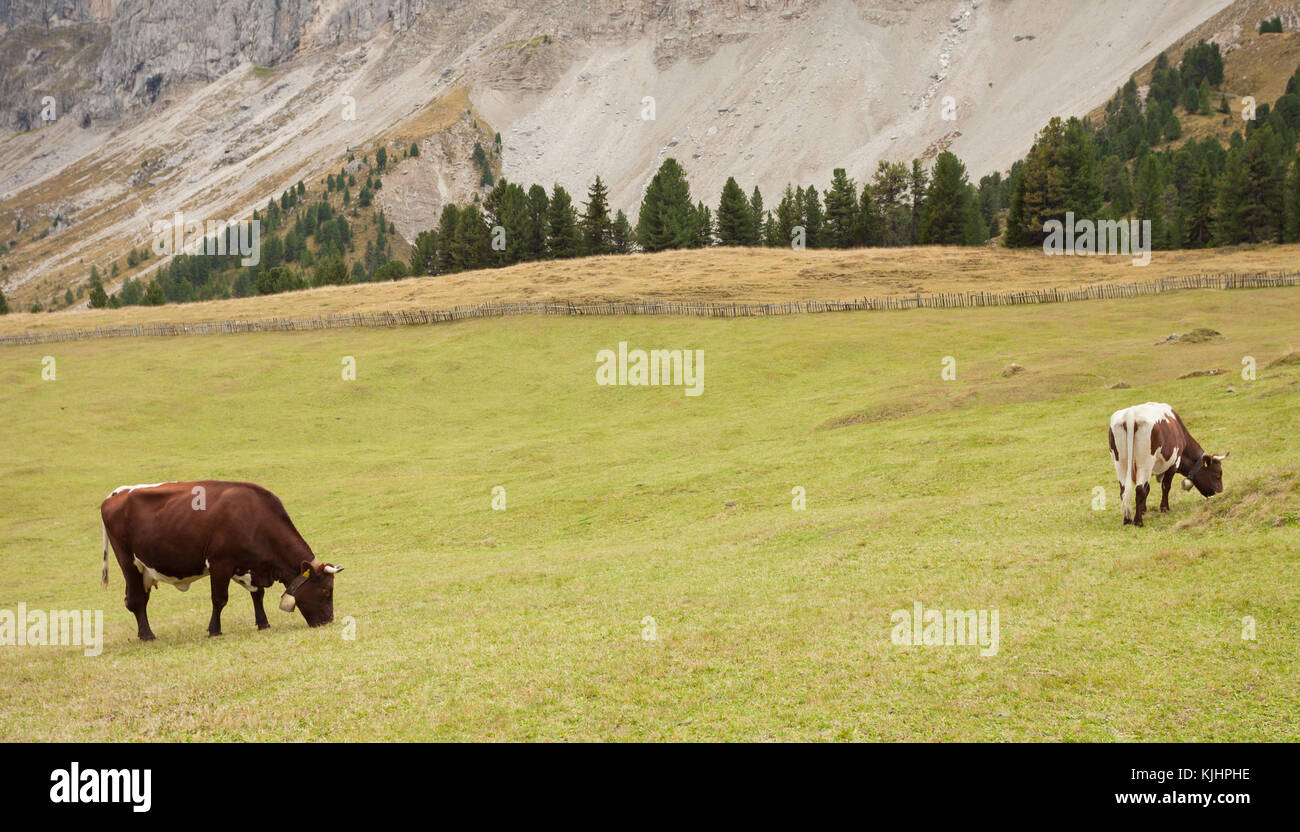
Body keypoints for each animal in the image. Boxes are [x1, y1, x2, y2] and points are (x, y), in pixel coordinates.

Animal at [100, 481, 344, 641]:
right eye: (326, 591)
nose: (328, 620)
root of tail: (116, 494)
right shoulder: (221, 564)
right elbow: (219, 599)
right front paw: (214, 630)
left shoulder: (250, 567)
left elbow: (258, 595)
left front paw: (263, 623)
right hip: (129, 563)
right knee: (136, 601)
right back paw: (147, 635)